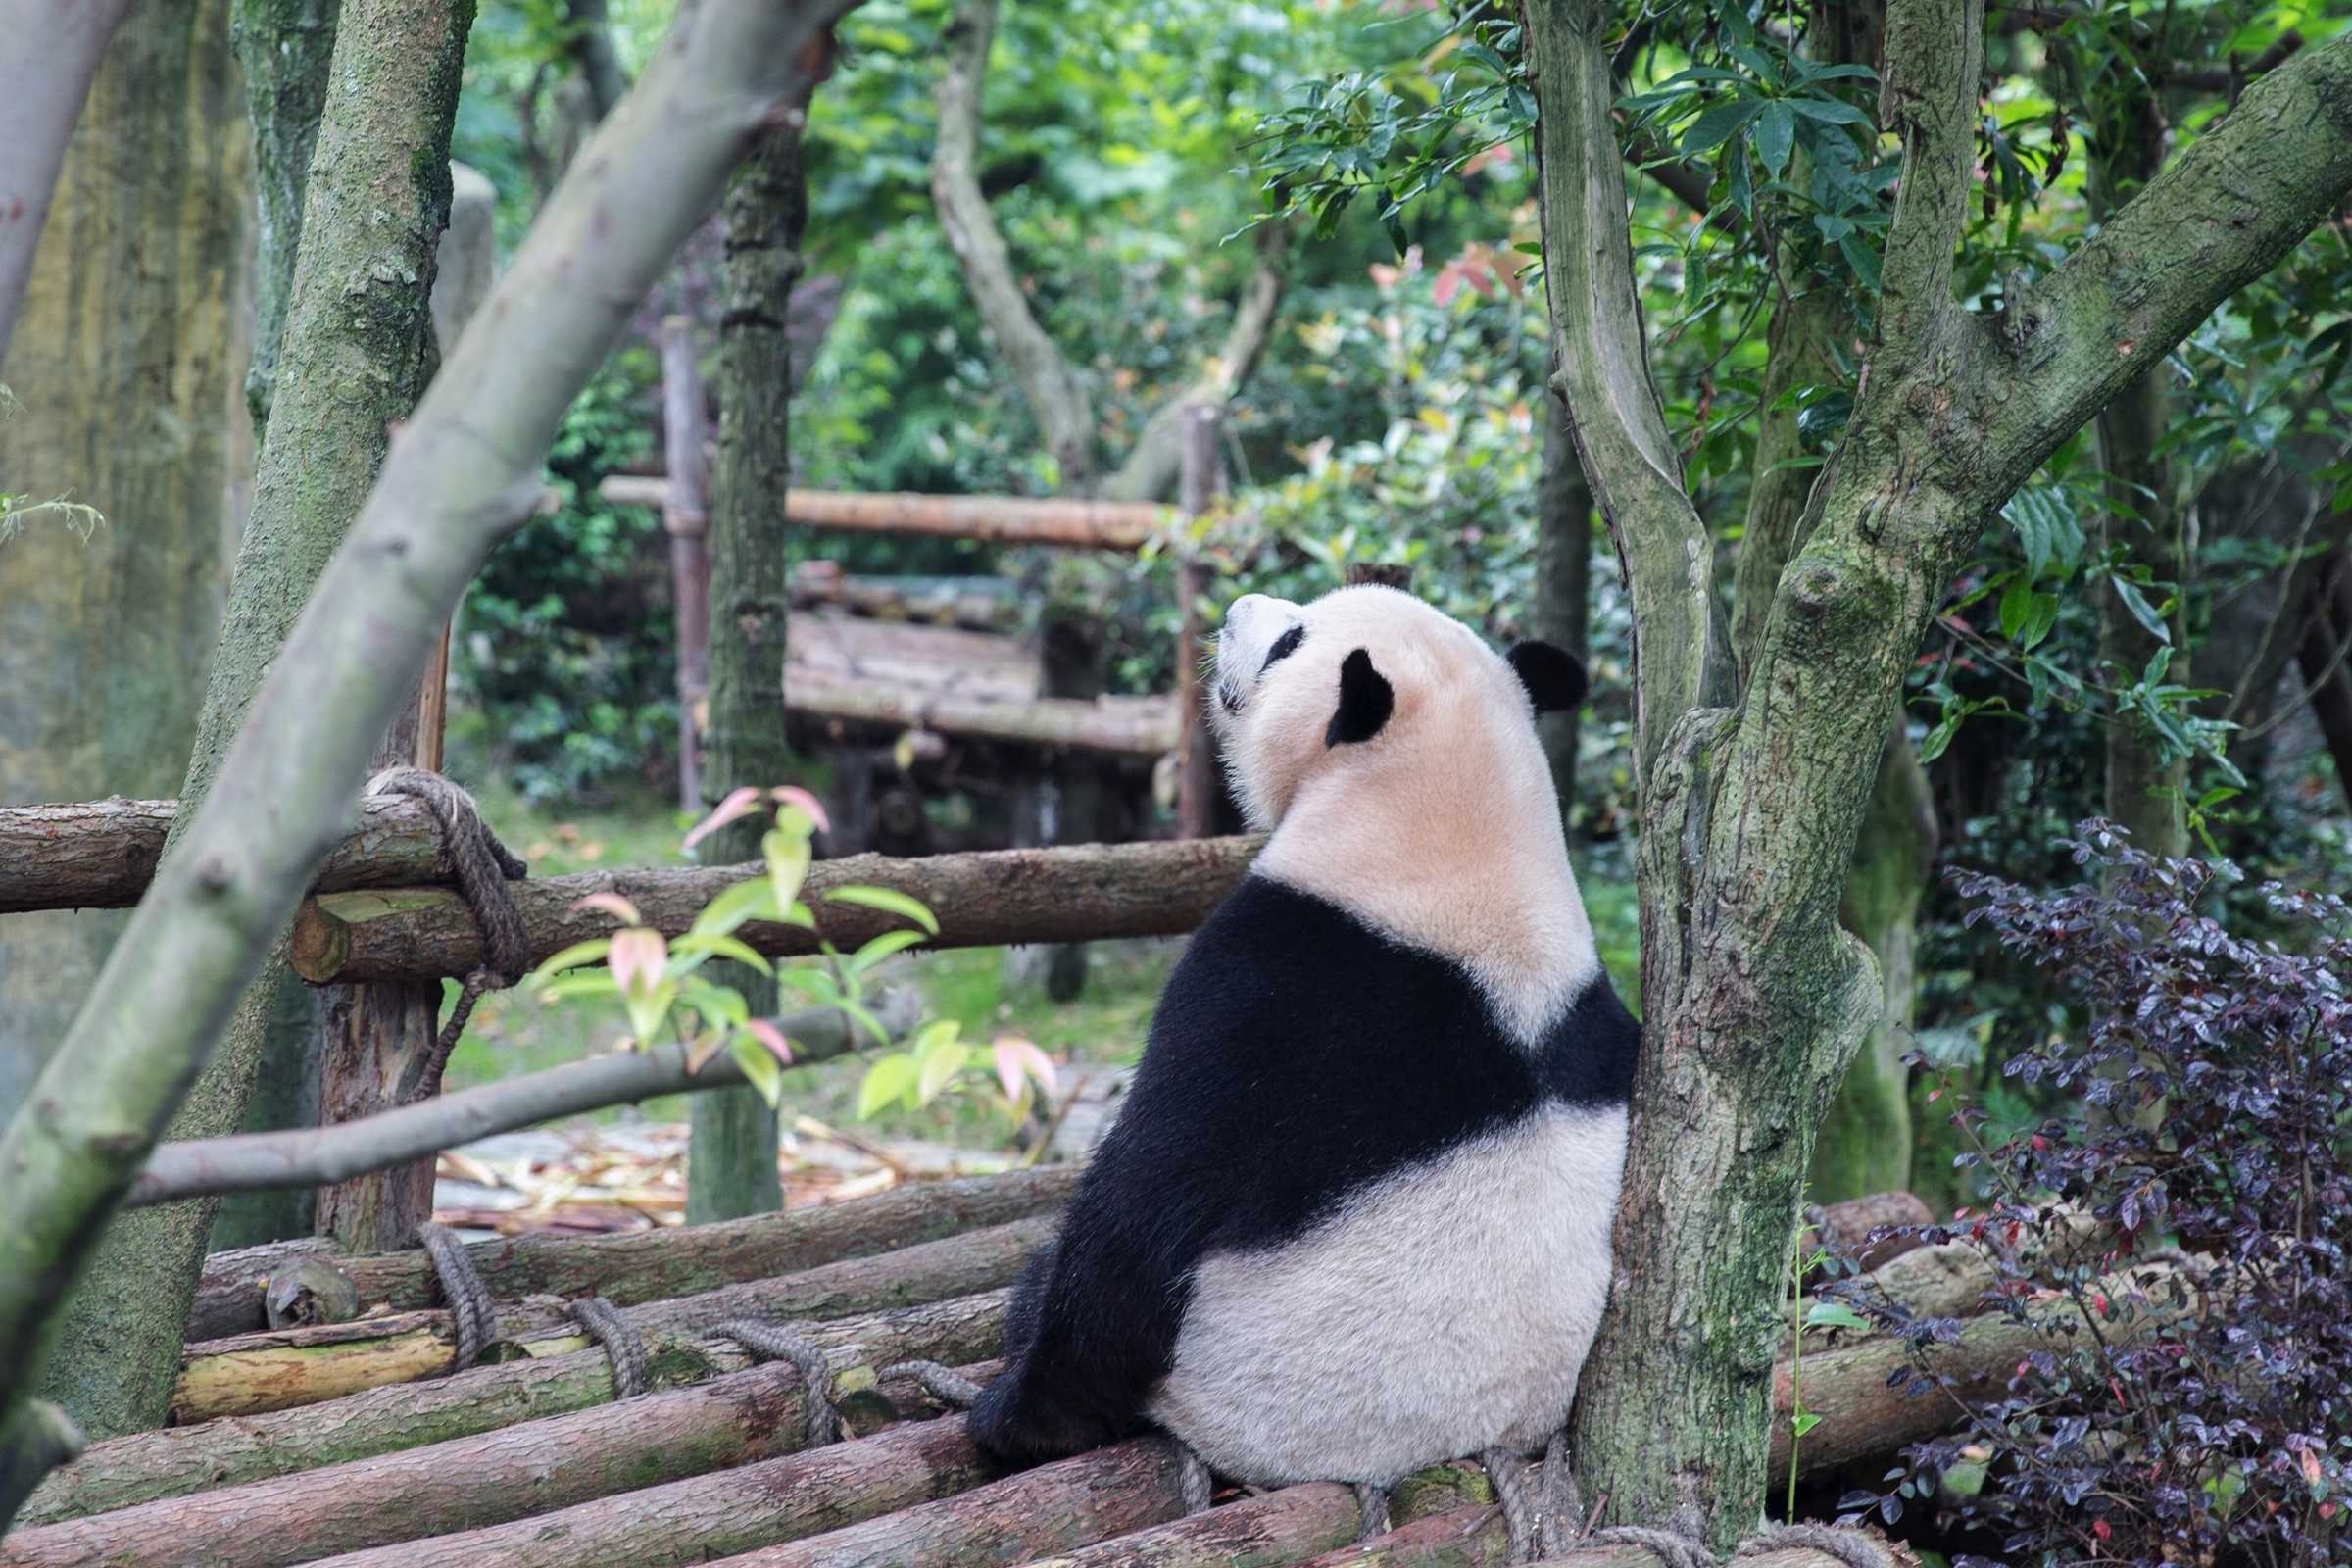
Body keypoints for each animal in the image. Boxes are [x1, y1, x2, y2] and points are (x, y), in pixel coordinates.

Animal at [969, 583, 1638, 1493]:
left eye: (1290, 639)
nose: (1236, 608)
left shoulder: (1265, 991)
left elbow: (1142, 1206)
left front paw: (1018, 1418)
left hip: (1223, 1376)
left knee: (1062, 1280)